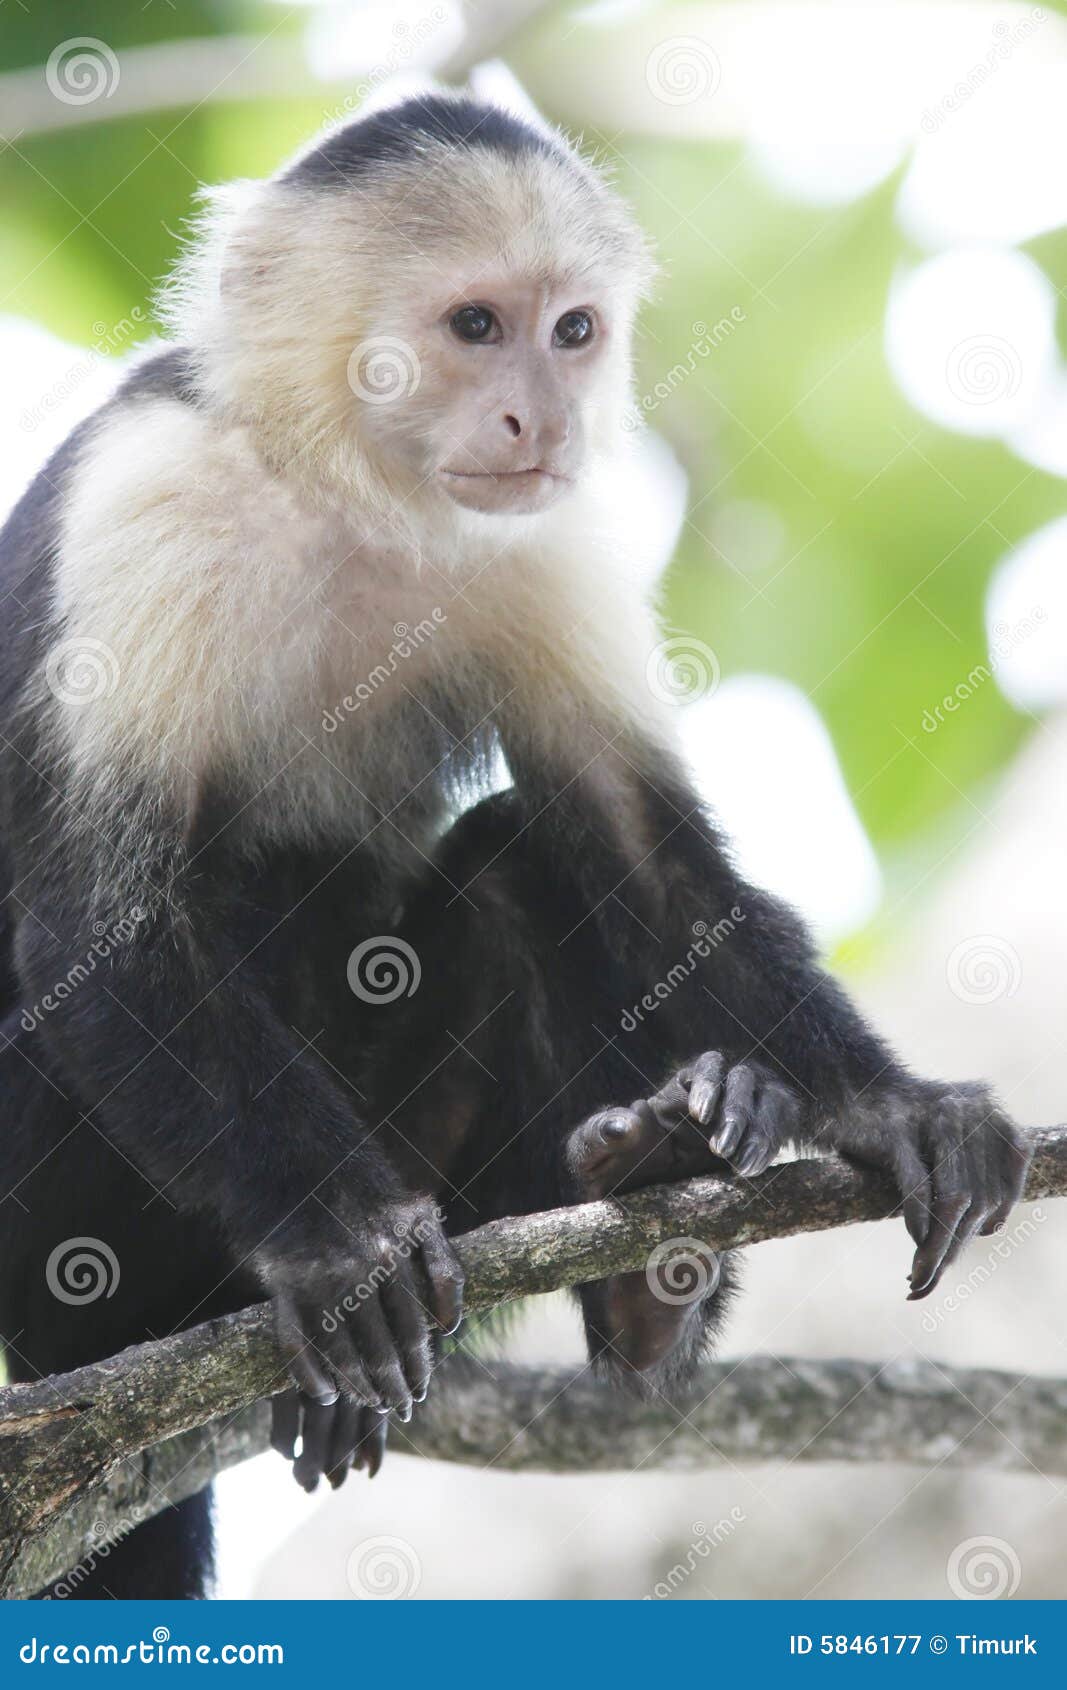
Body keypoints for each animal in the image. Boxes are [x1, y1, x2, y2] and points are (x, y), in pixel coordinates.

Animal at [0, 93, 1028, 1599]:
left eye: (572, 330)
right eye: (475, 324)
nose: (538, 413)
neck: (347, 494)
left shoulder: (545, 537)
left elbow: (639, 851)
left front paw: (885, 1105)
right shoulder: (140, 501)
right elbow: (100, 927)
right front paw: (345, 1242)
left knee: (515, 861)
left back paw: (651, 1233)